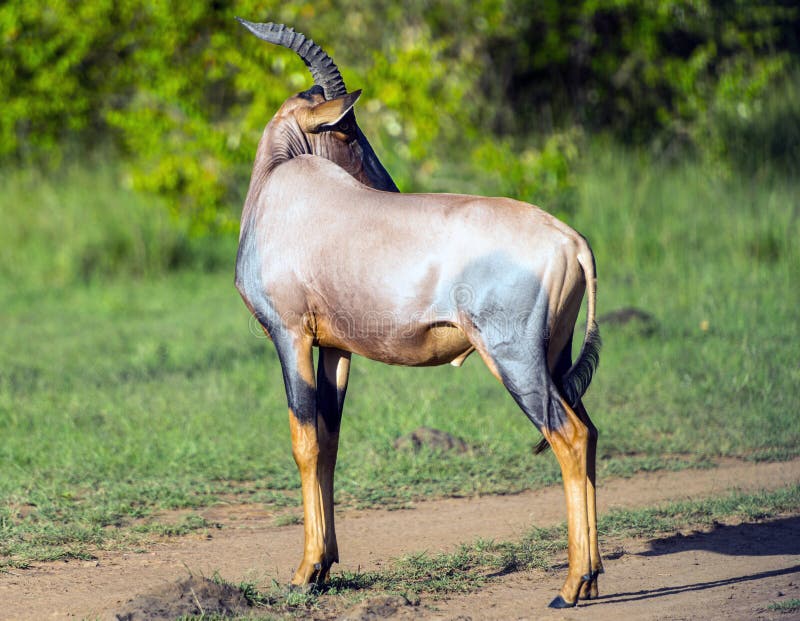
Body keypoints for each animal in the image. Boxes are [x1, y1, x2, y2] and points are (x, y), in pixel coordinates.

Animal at [234, 19, 602, 608]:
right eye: (346, 128)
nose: (389, 188)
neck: (284, 190)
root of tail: (570, 239)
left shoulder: (290, 337)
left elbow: (304, 440)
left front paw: (303, 573)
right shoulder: (334, 348)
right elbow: (330, 439)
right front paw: (325, 567)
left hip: (514, 359)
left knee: (568, 436)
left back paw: (569, 586)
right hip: (555, 357)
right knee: (588, 430)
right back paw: (589, 582)